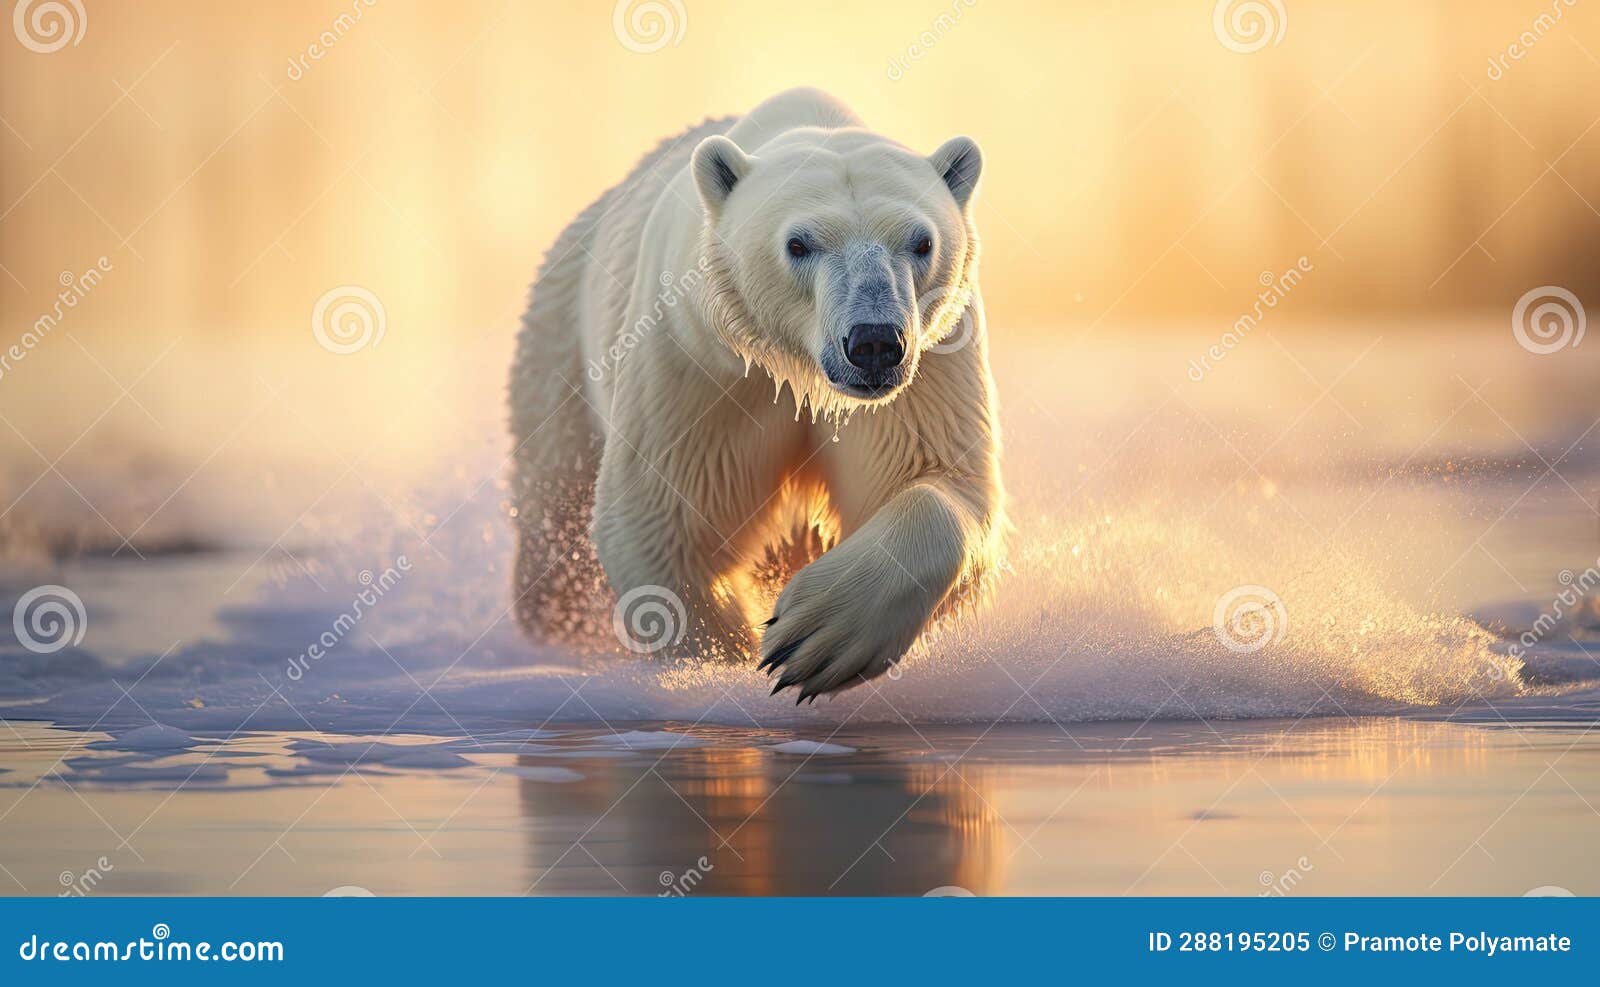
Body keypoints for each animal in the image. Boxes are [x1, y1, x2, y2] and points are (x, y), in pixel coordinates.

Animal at [508, 87, 1005, 701]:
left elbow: (938, 478)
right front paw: (729, 658)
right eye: (799, 243)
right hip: (560, 343)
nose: (873, 342)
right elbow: (666, 518)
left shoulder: (932, 360)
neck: (798, 369)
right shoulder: (701, 363)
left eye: (921, 241)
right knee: (553, 503)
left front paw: (819, 634)